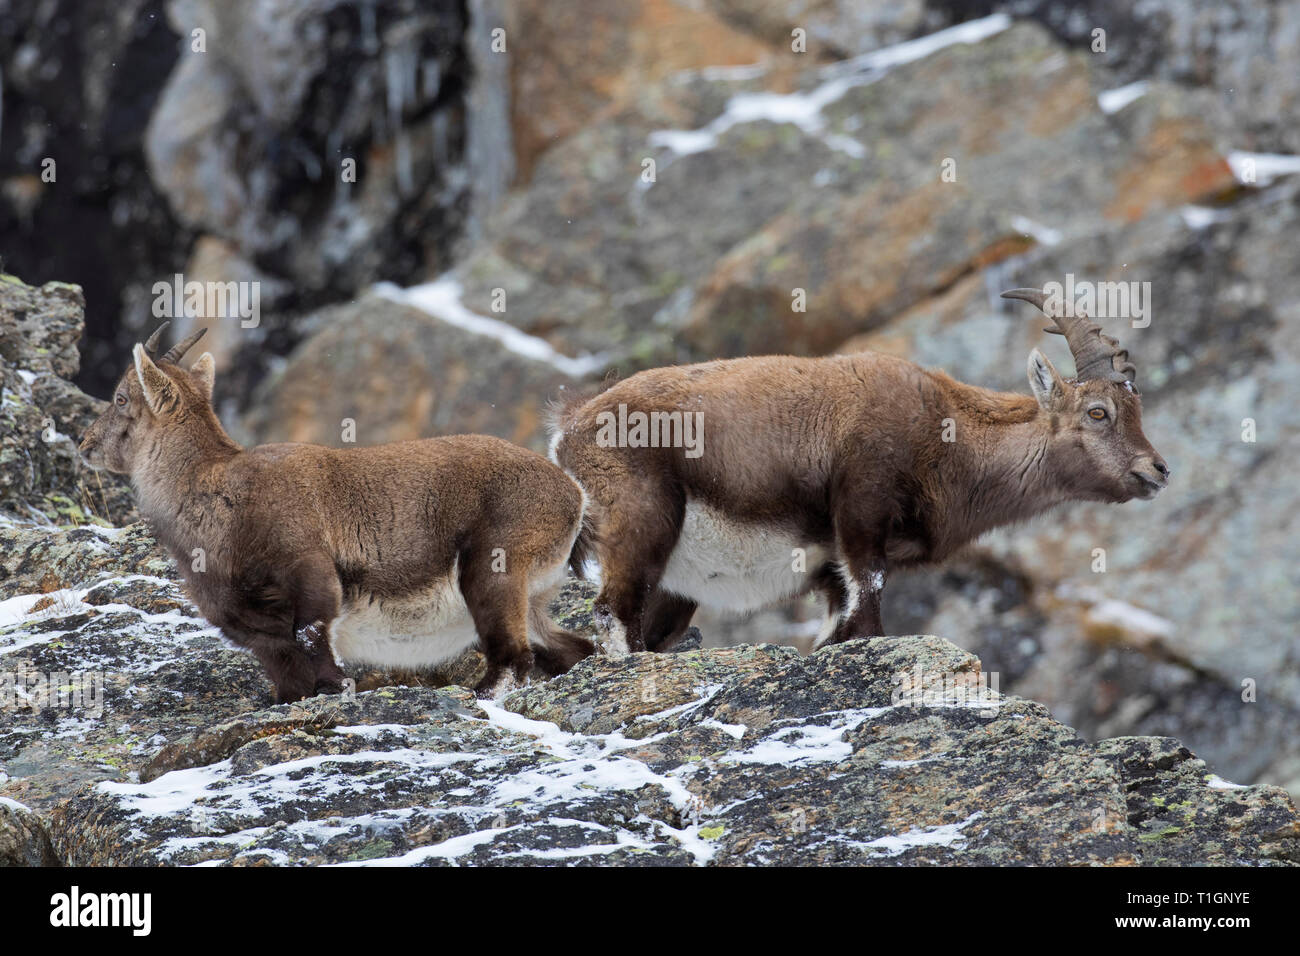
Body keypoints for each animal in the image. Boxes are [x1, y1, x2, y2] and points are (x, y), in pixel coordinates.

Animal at [79, 325, 595, 702]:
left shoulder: (309, 570)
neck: (218, 491)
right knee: (569, 648)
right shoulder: (261, 638)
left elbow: (314, 637)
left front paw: (338, 689)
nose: (84, 443)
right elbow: (289, 680)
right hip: (533, 598)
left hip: (493, 570)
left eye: (122, 397)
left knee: (513, 659)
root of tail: (572, 493)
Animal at [552, 288, 1170, 654]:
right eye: (1098, 412)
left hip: (674, 584)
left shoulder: (829, 571)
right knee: (611, 613)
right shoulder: (862, 510)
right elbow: (869, 610)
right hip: (643, 523)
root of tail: (568, 433)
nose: (1158, 470)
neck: (946, 429)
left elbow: (838, 631)